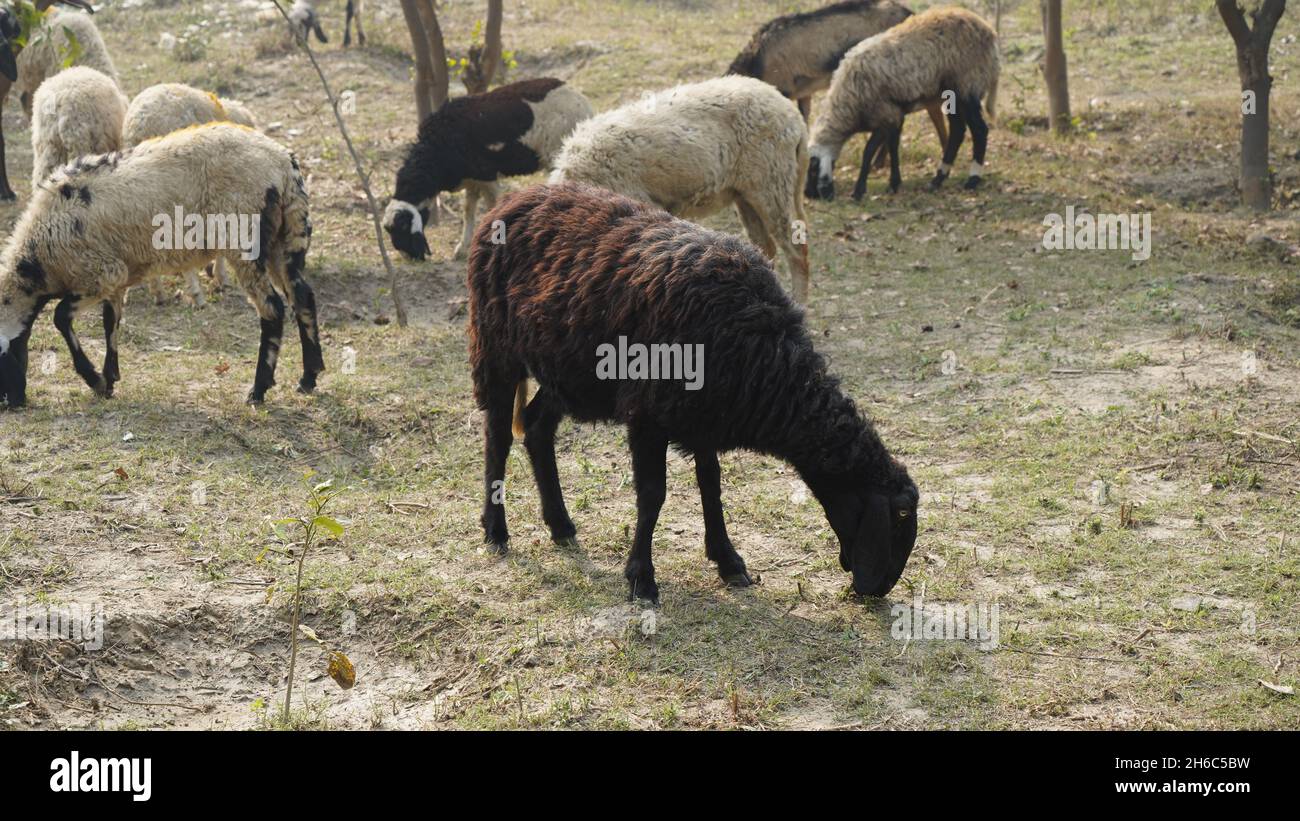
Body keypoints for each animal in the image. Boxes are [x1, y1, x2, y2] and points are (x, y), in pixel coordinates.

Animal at [0, 123, 324, 409]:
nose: (9, 404)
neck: (38, 262)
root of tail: (284, 164)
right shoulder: (116, 275)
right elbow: (110, 321)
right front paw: (110, 378)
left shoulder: (98, 274)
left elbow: (60, 316)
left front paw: (96, 381)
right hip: (284, 237)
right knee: (302, 296)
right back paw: (308, 378)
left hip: (244, 236)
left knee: (272, 308)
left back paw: (258, 390)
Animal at [383, 77, 593, 262]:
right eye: (389, 231)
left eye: (402, 227)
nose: (410, 258)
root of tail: (583, 103)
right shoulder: (471, 179)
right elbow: (468, 211)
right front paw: (462, 249)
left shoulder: (485, 174)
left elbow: (494, 207)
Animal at [468, 183, 919, 603]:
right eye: (899, 516)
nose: (880, 588)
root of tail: (514, 198)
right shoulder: (648, 414)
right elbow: (653, 496)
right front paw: (642, 579)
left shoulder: (704, 415)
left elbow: (711, 485)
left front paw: (728, 560)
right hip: (496, 345)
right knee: (498, 436)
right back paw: (496, 530)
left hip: (565, 369)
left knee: (537, 427)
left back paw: (560, 525)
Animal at [550, 75, 813, 303]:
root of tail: (793, 116)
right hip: (745, 192)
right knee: (765, 246)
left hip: (772, 182)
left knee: (797, 250)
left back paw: (799, 303)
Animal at [806, 5, 1000, 202]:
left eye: (812, 169)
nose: (808, 195)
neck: (848, 108)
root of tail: (989, 32)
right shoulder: (895, 116)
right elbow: (893, 147)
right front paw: (894, 184)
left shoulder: (885, 114)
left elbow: (869, 150)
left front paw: (859, 190)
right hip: (951, 93)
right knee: (958, 130)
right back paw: (938, 179)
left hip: (967, 84)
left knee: (979, 130)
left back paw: (972, 179)